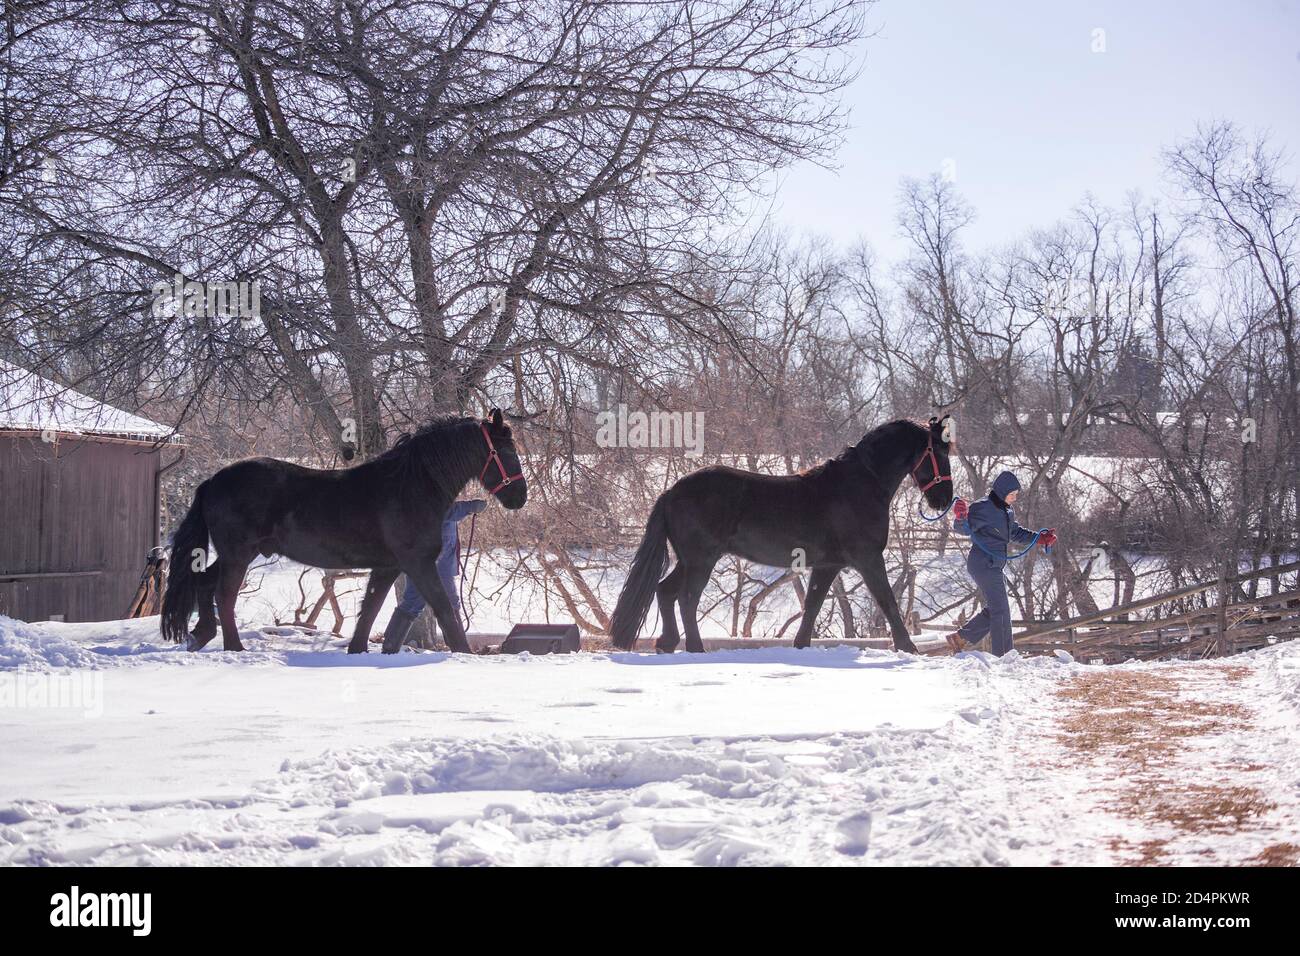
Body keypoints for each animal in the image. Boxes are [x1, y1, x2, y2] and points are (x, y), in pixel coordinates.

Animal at [160, 409, 527, 655]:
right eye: (508, 452)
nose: (519, 498)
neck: (412, 486)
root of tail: (212, 481)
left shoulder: (388, 566)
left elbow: (371, 609)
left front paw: (358, 650)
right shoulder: (418, 563)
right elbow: (443, 607)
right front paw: (463, 653)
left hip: (236, 553)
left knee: (204, 582)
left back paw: (200, 635)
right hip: (239, 554)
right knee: (224, 594)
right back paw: (233, 647)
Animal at [609, 416, 954, 654]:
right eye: (939, 451)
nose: (944, 499)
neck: (861, 484)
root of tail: (671, 492)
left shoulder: (828, 566)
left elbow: (812, 606)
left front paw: (800, 646)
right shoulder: (868, 560)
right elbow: (888, 601)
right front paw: (909, 648)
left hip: (688, 560)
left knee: (665, 592)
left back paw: (667, 644)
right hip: (700, 560)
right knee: (686, 599)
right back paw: (695, 648)